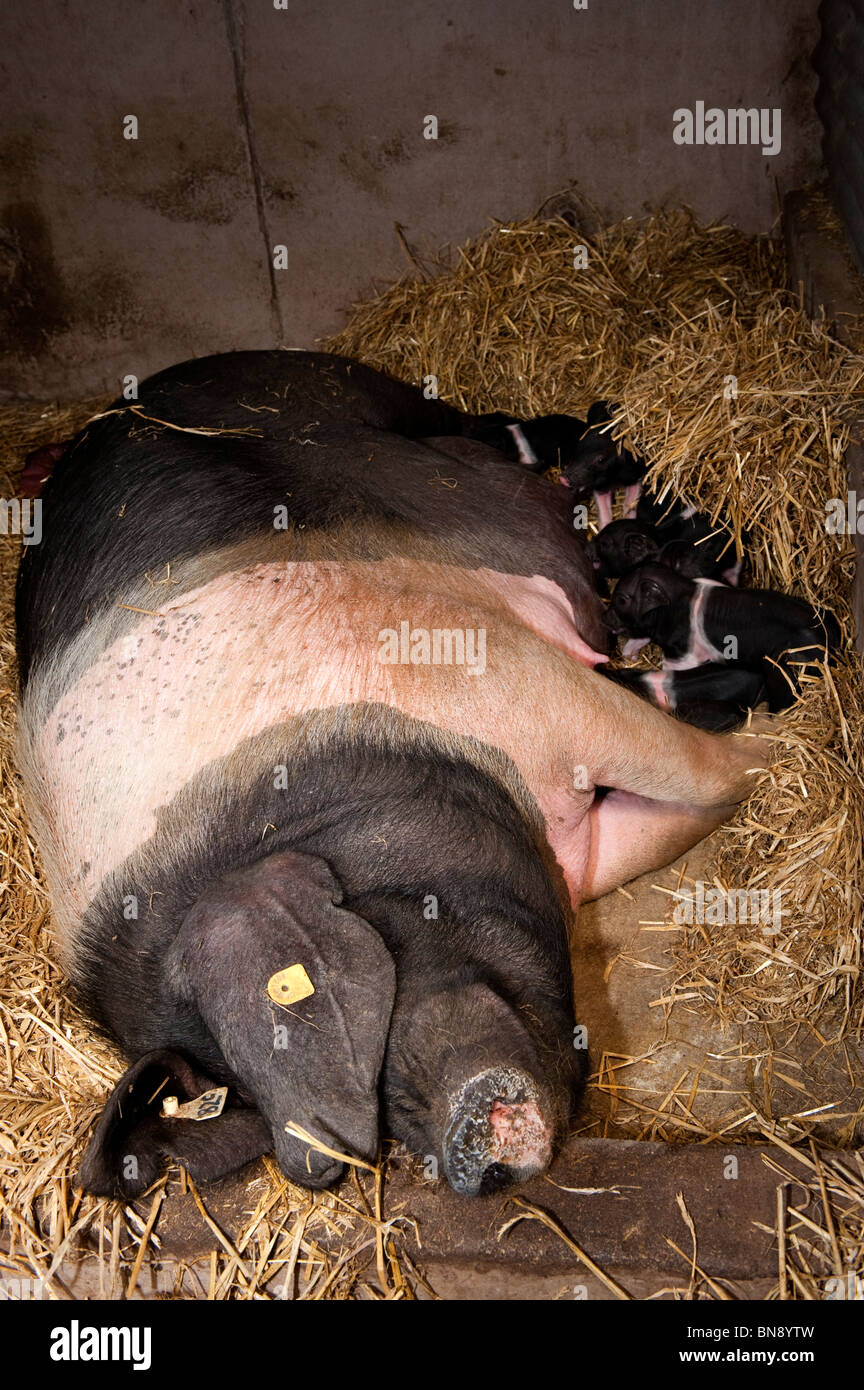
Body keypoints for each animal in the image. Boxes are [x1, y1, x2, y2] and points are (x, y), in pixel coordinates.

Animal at [15, 351, 767, 1200]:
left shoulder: (524, 680)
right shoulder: (573, 845)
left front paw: (771, 754)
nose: (468, 1159)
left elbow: (712, 776)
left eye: (357, 1000)